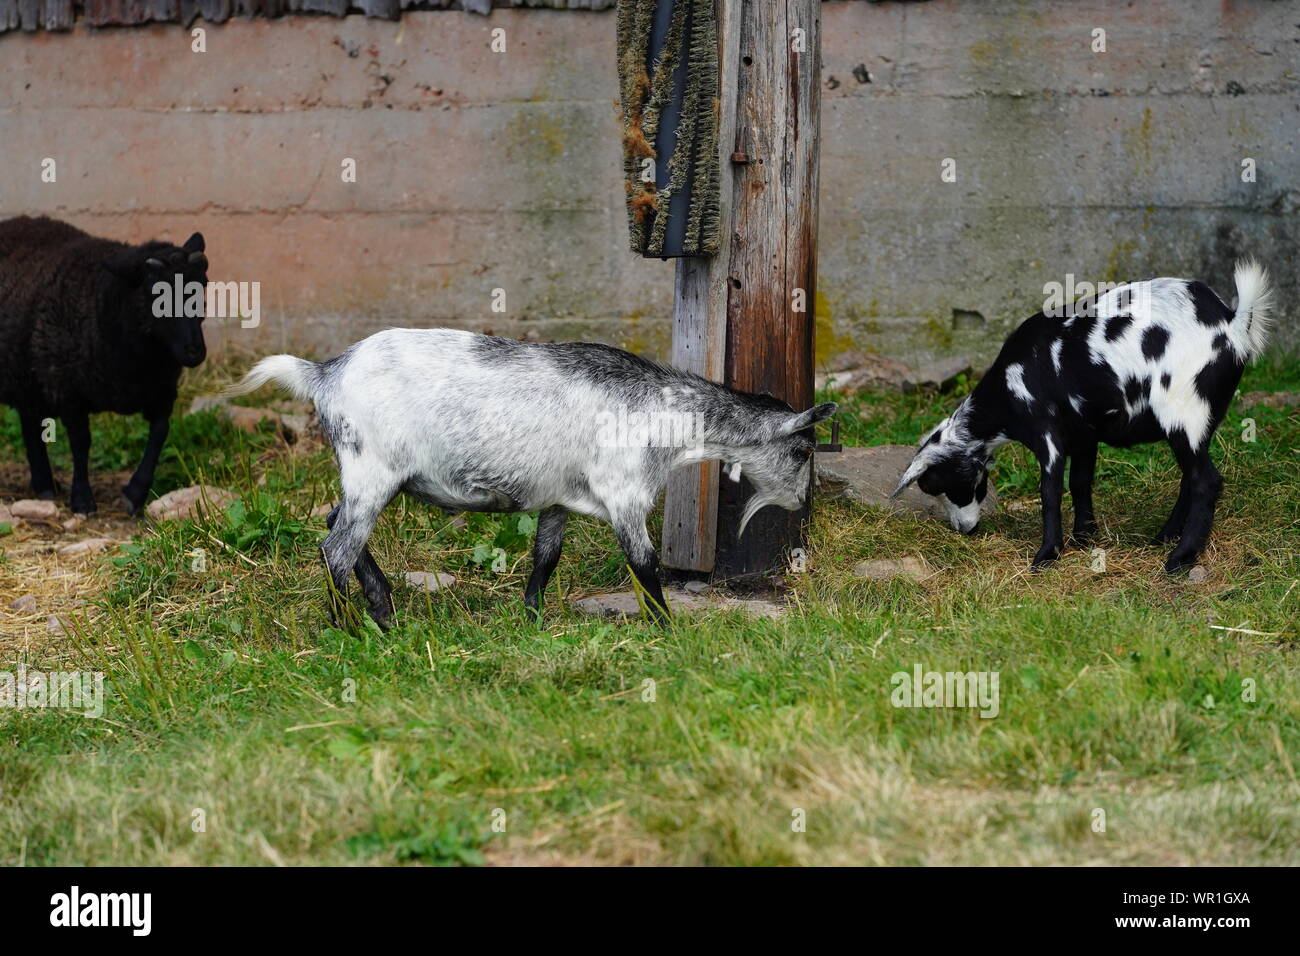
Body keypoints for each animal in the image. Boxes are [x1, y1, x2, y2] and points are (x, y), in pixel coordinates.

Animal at [0, 216, 209, 515]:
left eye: (203, 284)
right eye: (154, 293)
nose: (195, 351)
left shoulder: (161, 391)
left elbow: (159, 432)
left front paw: (135, 493)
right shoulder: (68, 391)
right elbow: (81, 442)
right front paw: (82, 499)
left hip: (28, 379)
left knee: (30, 425)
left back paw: (44, 485)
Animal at [227, 329, 836, 628]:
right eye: (804, 449)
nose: (801, 501)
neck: (663, 408)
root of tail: (324, 374)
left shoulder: (558, 500)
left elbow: (546, 555)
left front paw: (532, 619)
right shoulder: (625, 495)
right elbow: (643, 565)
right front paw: (668, 631)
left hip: (372, 477)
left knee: (337, 524)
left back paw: (382, 610)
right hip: (372, 470)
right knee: (337, 546)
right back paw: (347, 627)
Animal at [893, 261, 1273, 573]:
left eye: (941, 486)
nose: (963, 530)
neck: (1009, 387)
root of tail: (1232, 323)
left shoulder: (1048, 436)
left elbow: (1050, 492)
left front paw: (1047, 555)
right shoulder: (1084, 433)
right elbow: (1080, 482)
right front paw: (1083, 538)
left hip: (1182, 409)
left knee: (1206, 481)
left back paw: (1181, 558)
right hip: (1198, 419)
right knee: (1191, 478)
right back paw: (1164, 537)